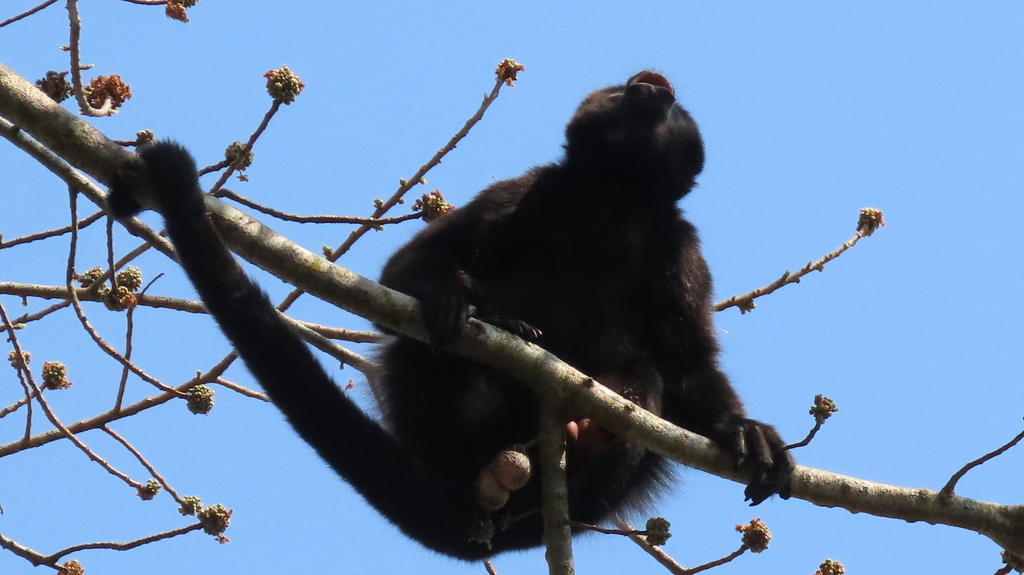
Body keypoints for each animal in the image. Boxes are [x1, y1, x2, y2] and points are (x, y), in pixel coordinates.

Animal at [108, 70, 793, 561]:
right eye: (625, 91)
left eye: (673, 107)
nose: (649, 85)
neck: (611, 198)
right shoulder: (529, 188)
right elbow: (407, 269)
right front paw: (449, 296)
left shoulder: (678, 245)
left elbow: (687, 364)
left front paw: (743, 428)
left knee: (649, 378)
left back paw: (599, 421)